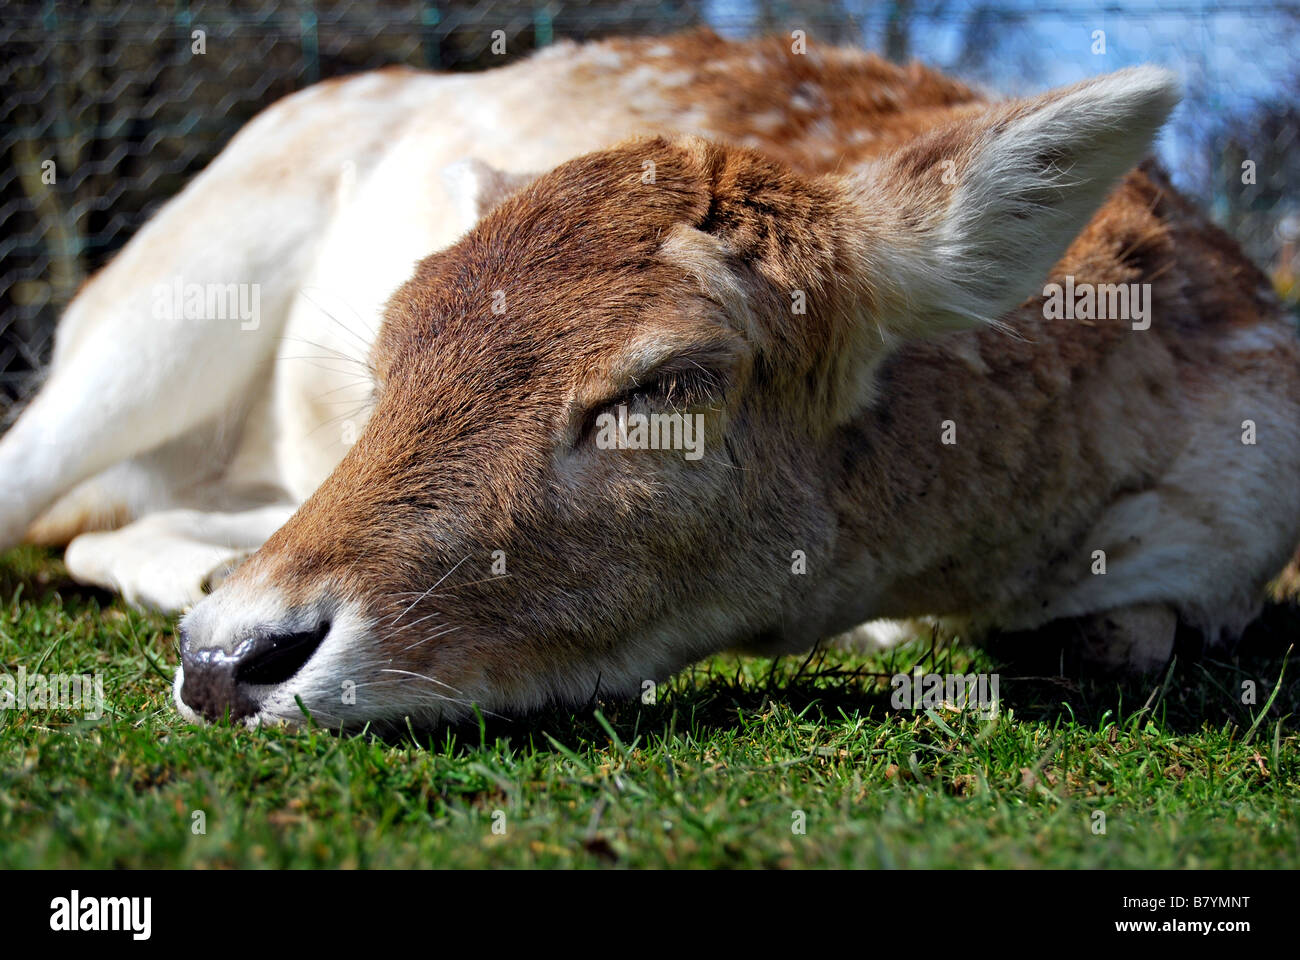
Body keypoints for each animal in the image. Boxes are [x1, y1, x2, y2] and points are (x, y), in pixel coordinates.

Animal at [0, 31, 1295, 730]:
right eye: (387, 352)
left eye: (667, 382)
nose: (228, 662)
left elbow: (1129, 633)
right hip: (174, 282)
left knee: (110, 522)